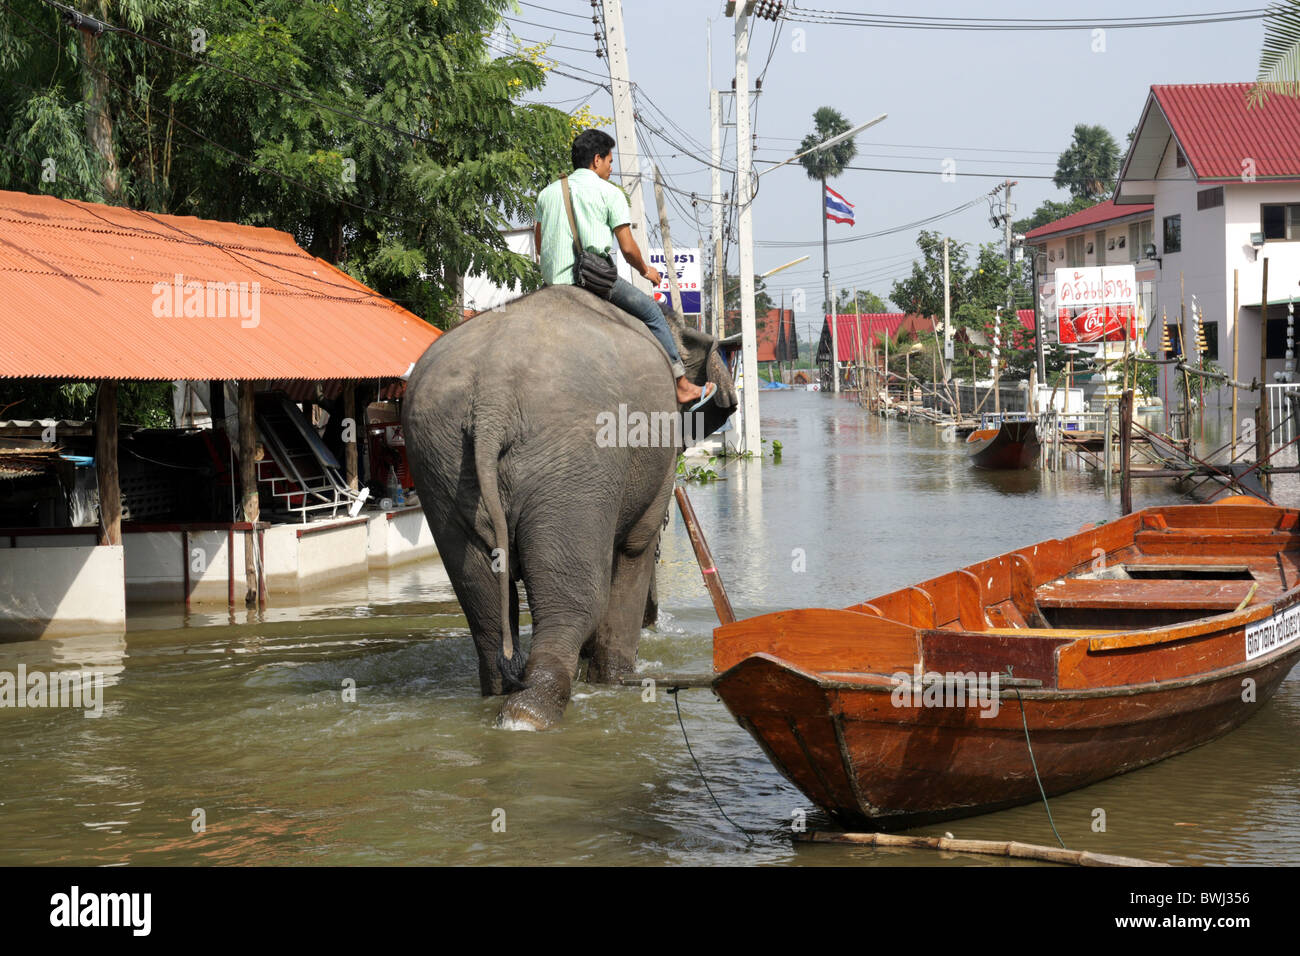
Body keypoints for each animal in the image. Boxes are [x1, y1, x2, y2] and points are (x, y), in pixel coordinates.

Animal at [401, 284, 737, 730]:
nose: (656, 621)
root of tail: (493, 397)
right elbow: (635, 547)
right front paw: (614, 680)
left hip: (439, 459)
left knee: (482, 601)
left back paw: (505, 696)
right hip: (574, 467)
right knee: (574, 604)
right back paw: (530, 714)